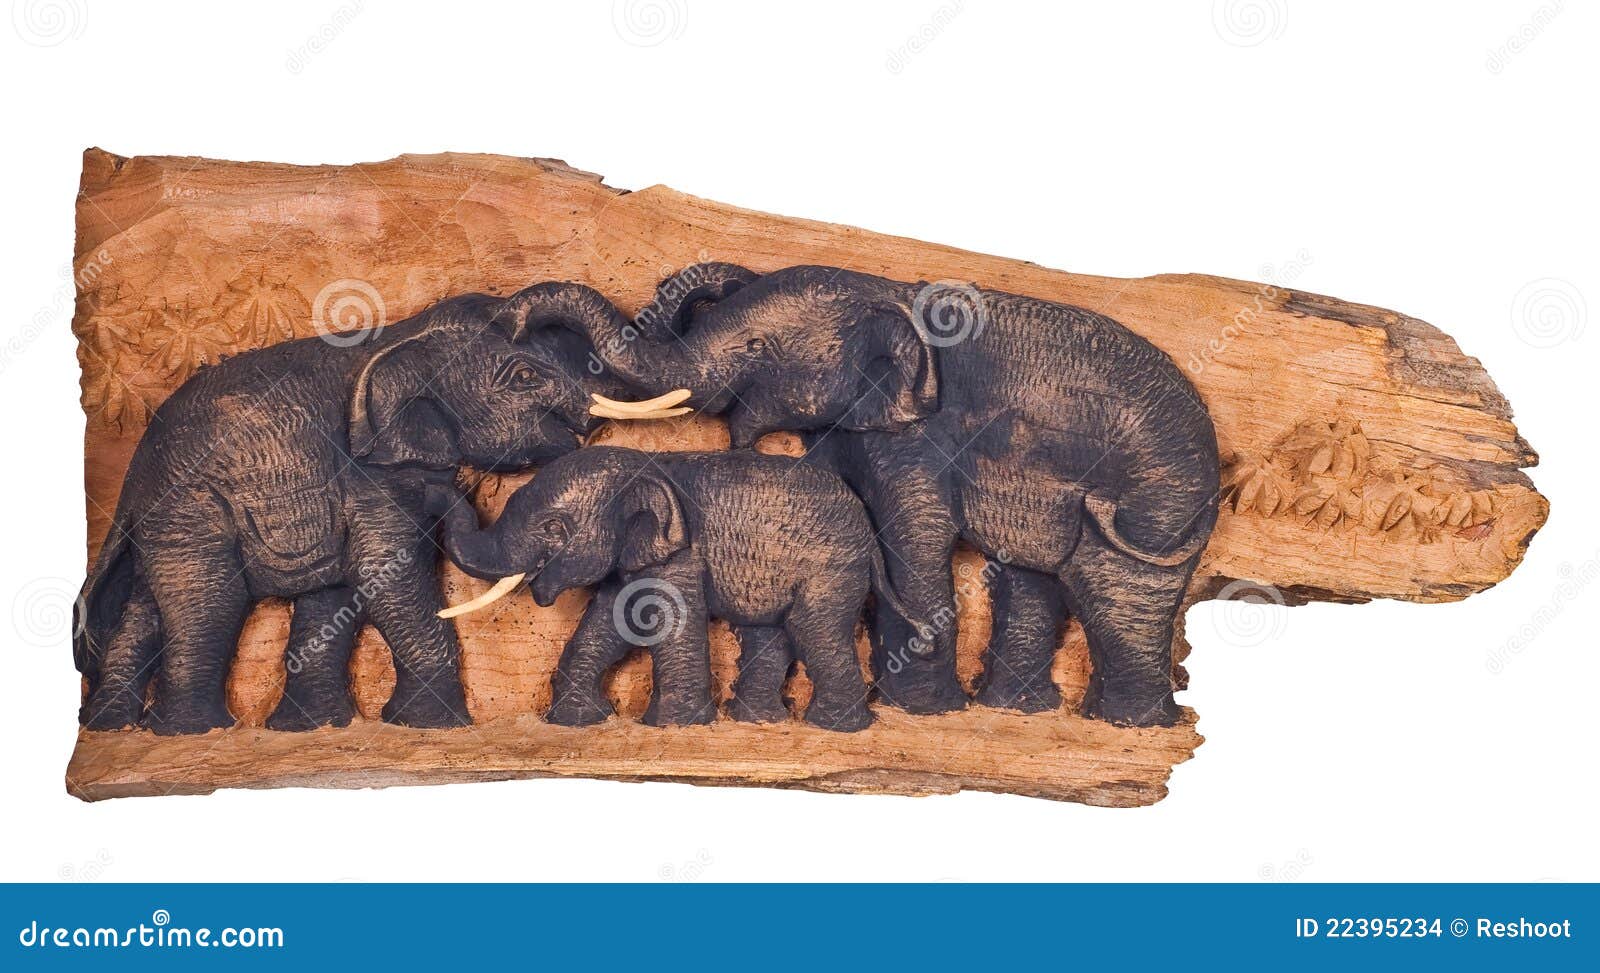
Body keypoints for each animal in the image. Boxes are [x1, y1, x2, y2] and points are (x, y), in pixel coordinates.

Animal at [73, 283, 673, 735]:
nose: (516, 312)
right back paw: (192, 732)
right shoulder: (366, 473)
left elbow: (339, 592)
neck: (401, 334)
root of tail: (133, 478)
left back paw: (114, 727)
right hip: (192, 505)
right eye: (524, 375)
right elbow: (384, 574)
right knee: (210, 602)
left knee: (146, 612)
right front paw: (434, 727)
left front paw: (319, 730)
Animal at [428, 446, 926, 731]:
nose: (439, 483)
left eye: (554, 527)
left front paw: (672, 728)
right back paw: (759, 721)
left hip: (829, 571)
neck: (646, 466)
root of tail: (870, 532)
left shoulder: (682, 553)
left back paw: (835, 728)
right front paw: (578, 723)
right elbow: (608, 621)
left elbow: (664, 619)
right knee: (772, 631)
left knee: (813, 629)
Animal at [511, 264, 1220, 727]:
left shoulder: (917, 432)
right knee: (1032, 577)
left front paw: (921, 710)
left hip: (1152, 505)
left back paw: (1127, 725)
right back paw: (1020, 710)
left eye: (757, 346)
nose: (510, 321)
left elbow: (916, 531)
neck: (888, 292)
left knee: (1112, 592)